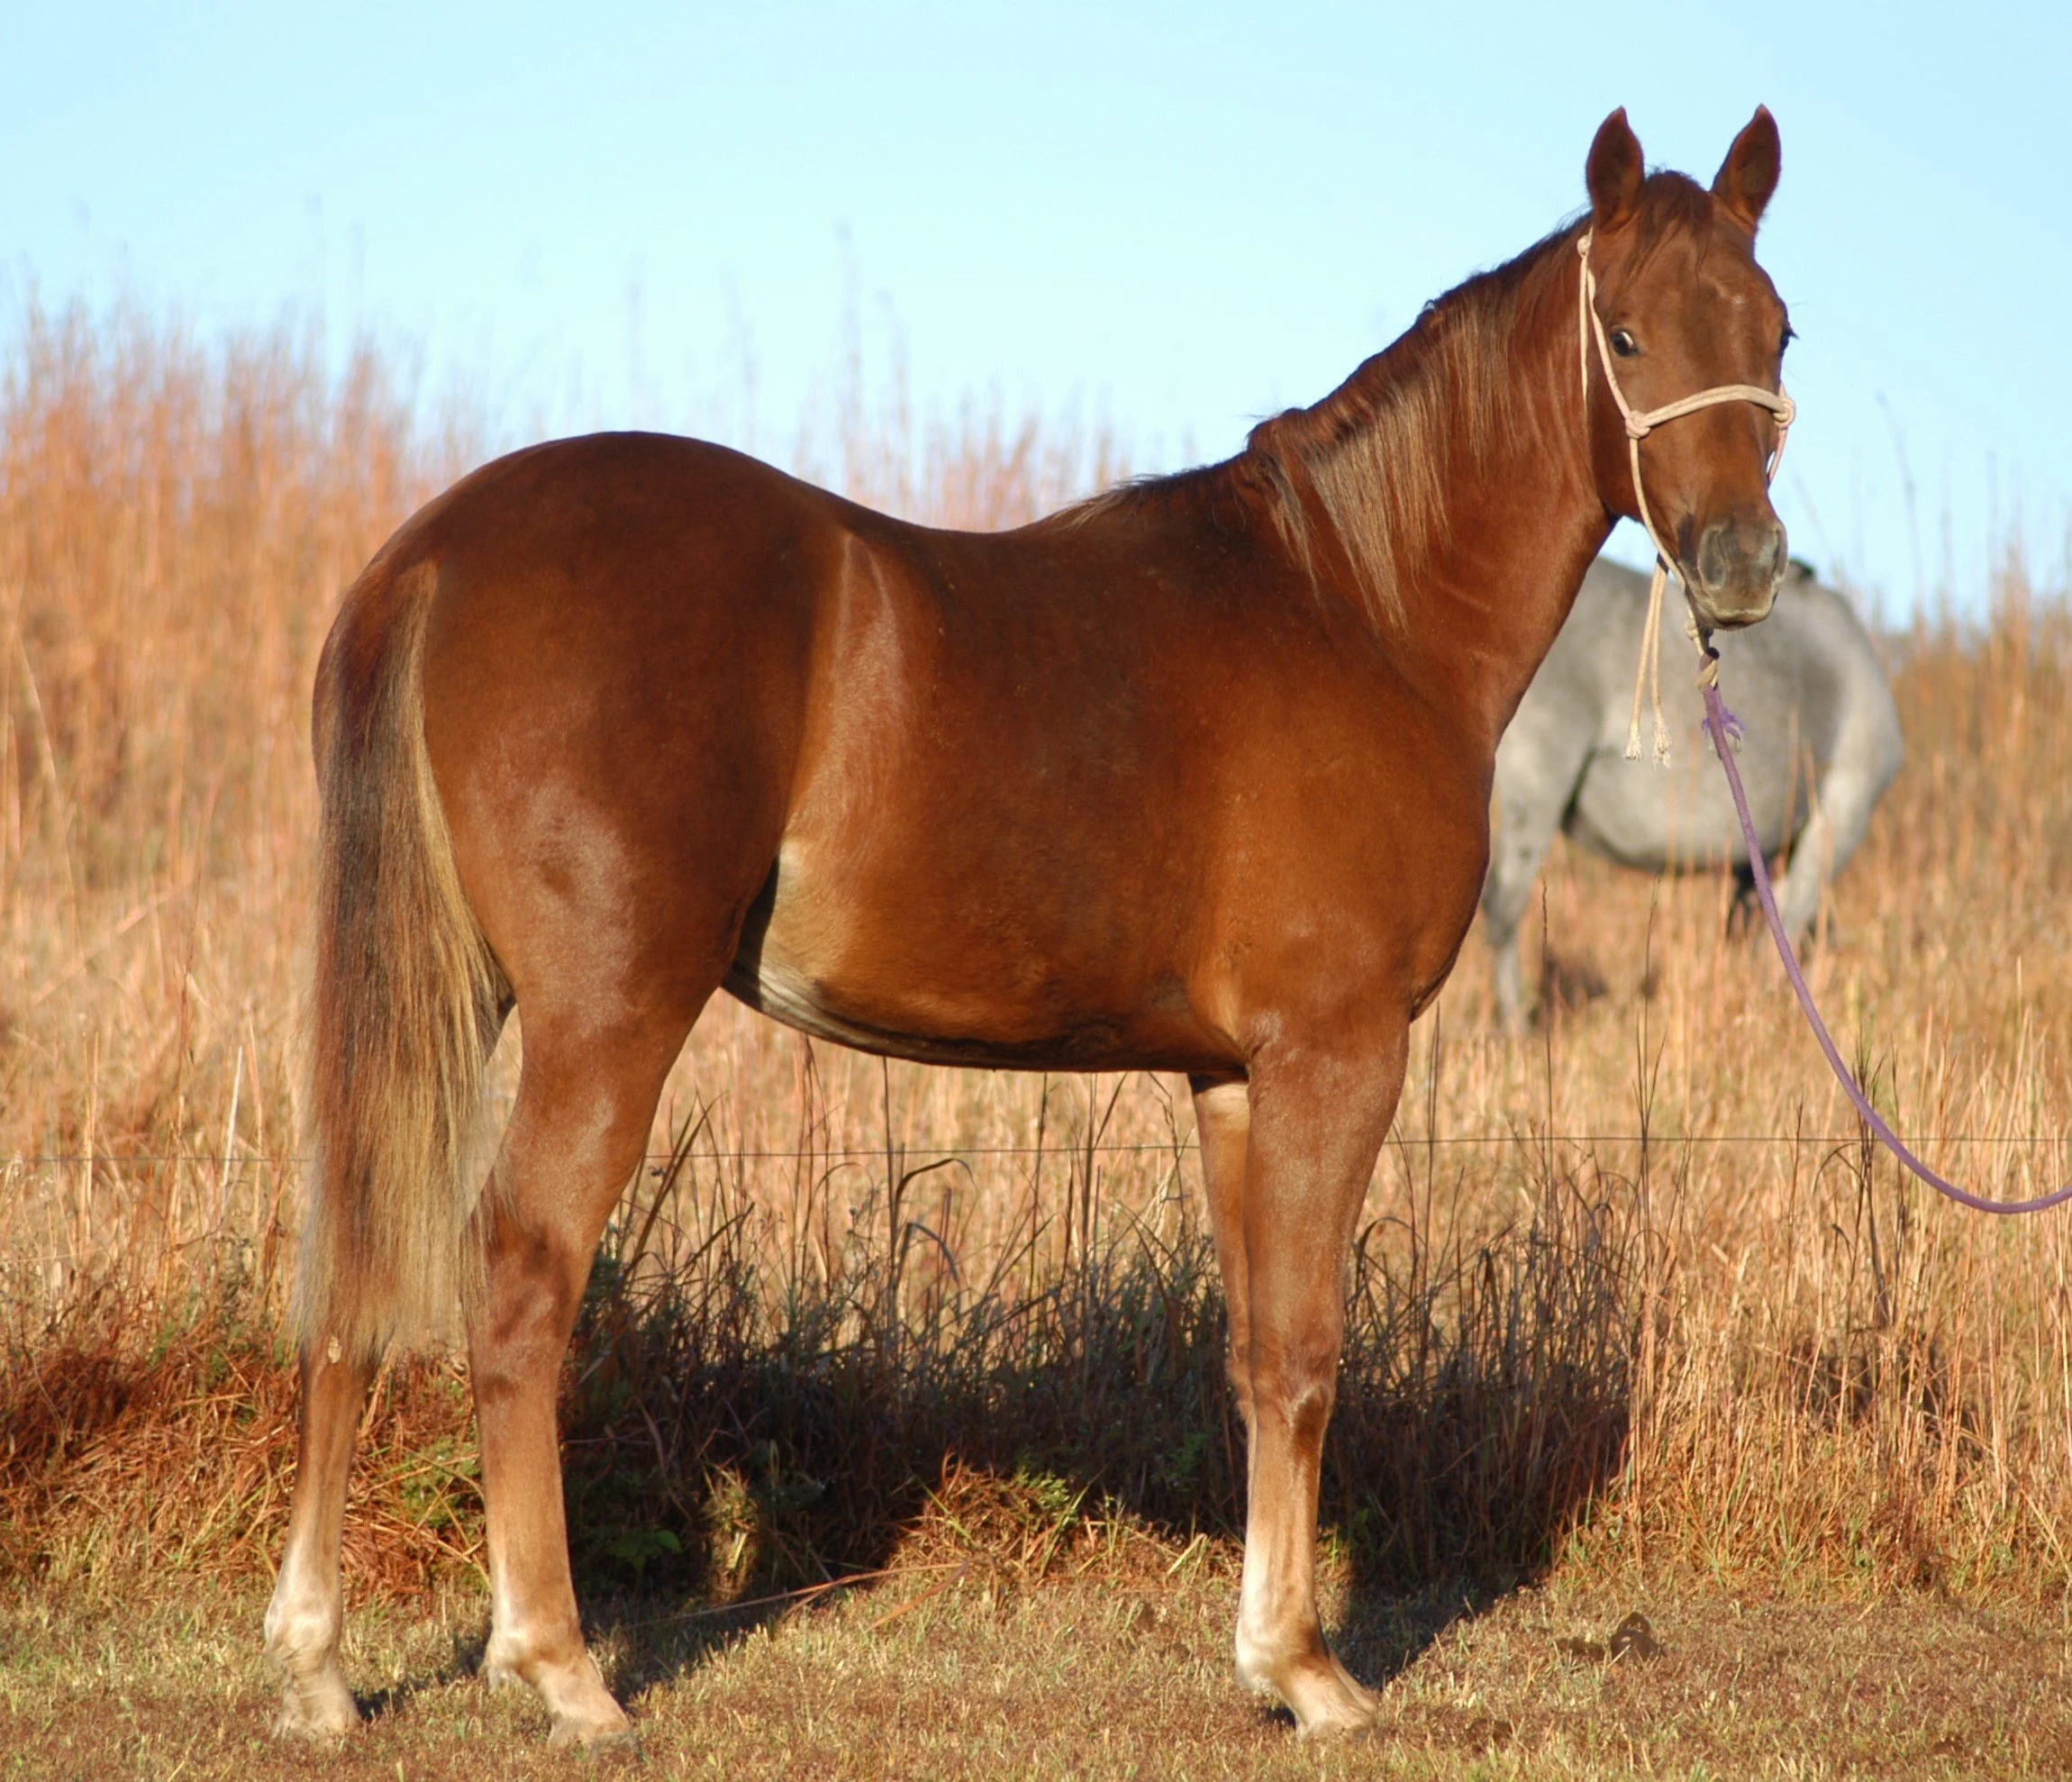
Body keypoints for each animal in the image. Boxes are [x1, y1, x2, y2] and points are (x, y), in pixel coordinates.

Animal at [266, 107, 1797, 1745]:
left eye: (1777, 327)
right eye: (1625, 333)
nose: (1743, 563)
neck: (1360, 611)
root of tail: (438, 551)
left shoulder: (1234, 1076)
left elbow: (1257, 1348)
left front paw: (1269, 1649)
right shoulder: (1335, 1053)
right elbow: (1310, 1350)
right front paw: (1312, 1670)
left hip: (449, 995)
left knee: (356, 1259)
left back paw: (316, 1661)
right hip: (606, 1014)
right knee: (520, 1278)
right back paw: (558, 1663)